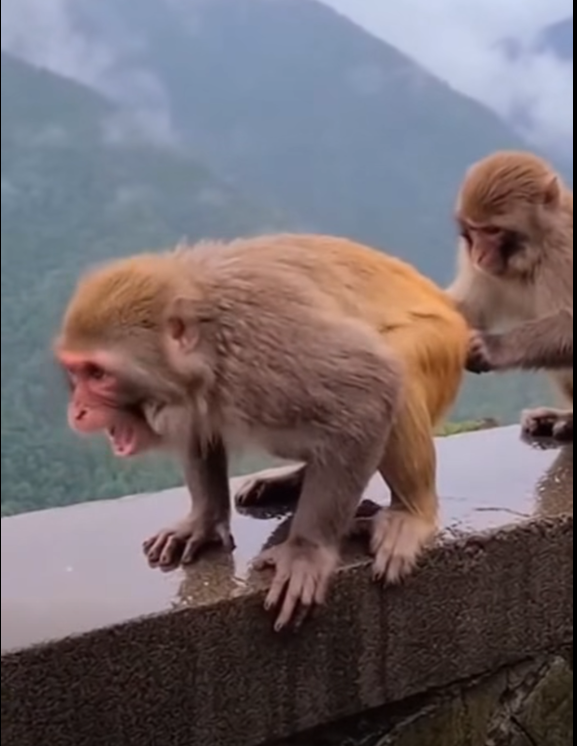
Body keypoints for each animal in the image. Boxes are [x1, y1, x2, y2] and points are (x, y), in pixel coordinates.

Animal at [55, 234, 470, 630]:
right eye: (76, 372)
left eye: (98, 374)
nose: (76, 411)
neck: (211, 344)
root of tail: (449, 309)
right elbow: (199, 431)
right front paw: (202, 522)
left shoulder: (268, 349)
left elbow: (371, 385)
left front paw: (305, 551)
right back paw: (295, 478)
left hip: (440, 345)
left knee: (398, 362)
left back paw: (413, 513)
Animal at [446, 151, 573, 442]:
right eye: (474, 229)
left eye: (493, 230)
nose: (479, 254)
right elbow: (467, 309)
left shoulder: (565, 252)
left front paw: (491, 348)